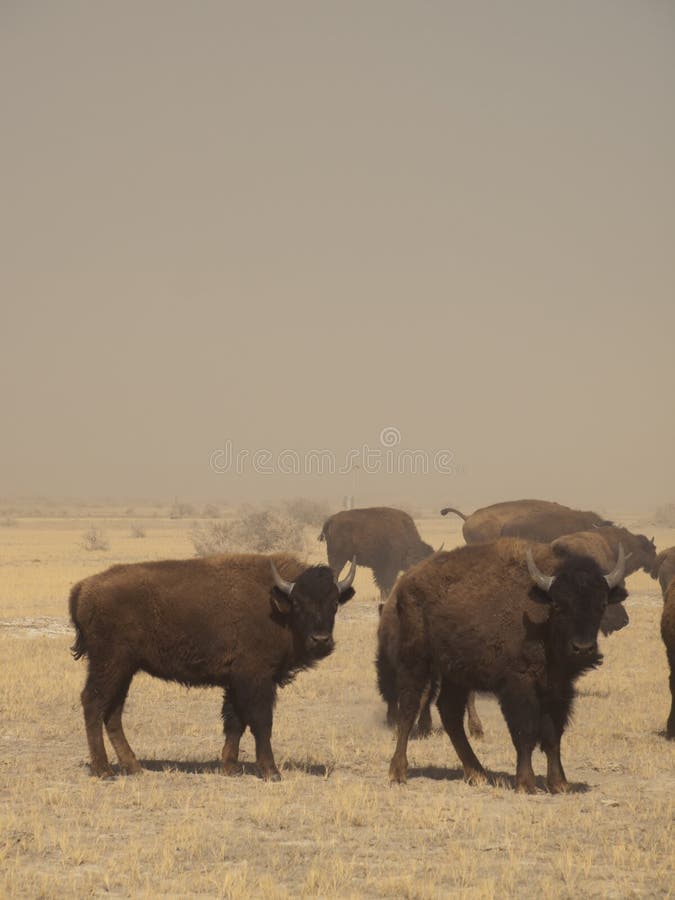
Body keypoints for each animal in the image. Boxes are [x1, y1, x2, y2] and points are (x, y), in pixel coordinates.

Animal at [69, 553, 356, 780]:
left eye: (334, 603)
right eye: (298, 603)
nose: (321, 639)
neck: (275, 605)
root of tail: (84, 587)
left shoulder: (236, 681)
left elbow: (235, 722)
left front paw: (230, 767)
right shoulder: (256, 678)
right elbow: (261, 721)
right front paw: (271, 772)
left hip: (124, 670)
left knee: (113, 713)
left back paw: (134, 767)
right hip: (110, 664)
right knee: (93, 704)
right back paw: (104, 771)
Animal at [388, 539, 627, 793]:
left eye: (602, 604)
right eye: (558, 605)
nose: (583, 649)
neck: (542, 617)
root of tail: (406, 581)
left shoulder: (558, 689)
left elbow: (553, 735)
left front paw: (560, 784)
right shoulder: (519, 685)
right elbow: (525, 733)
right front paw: (526, 783)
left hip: (456, 673)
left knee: (450, 712)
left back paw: (477, 773)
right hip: (416, 660)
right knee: (409, 708)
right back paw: (398, 773)